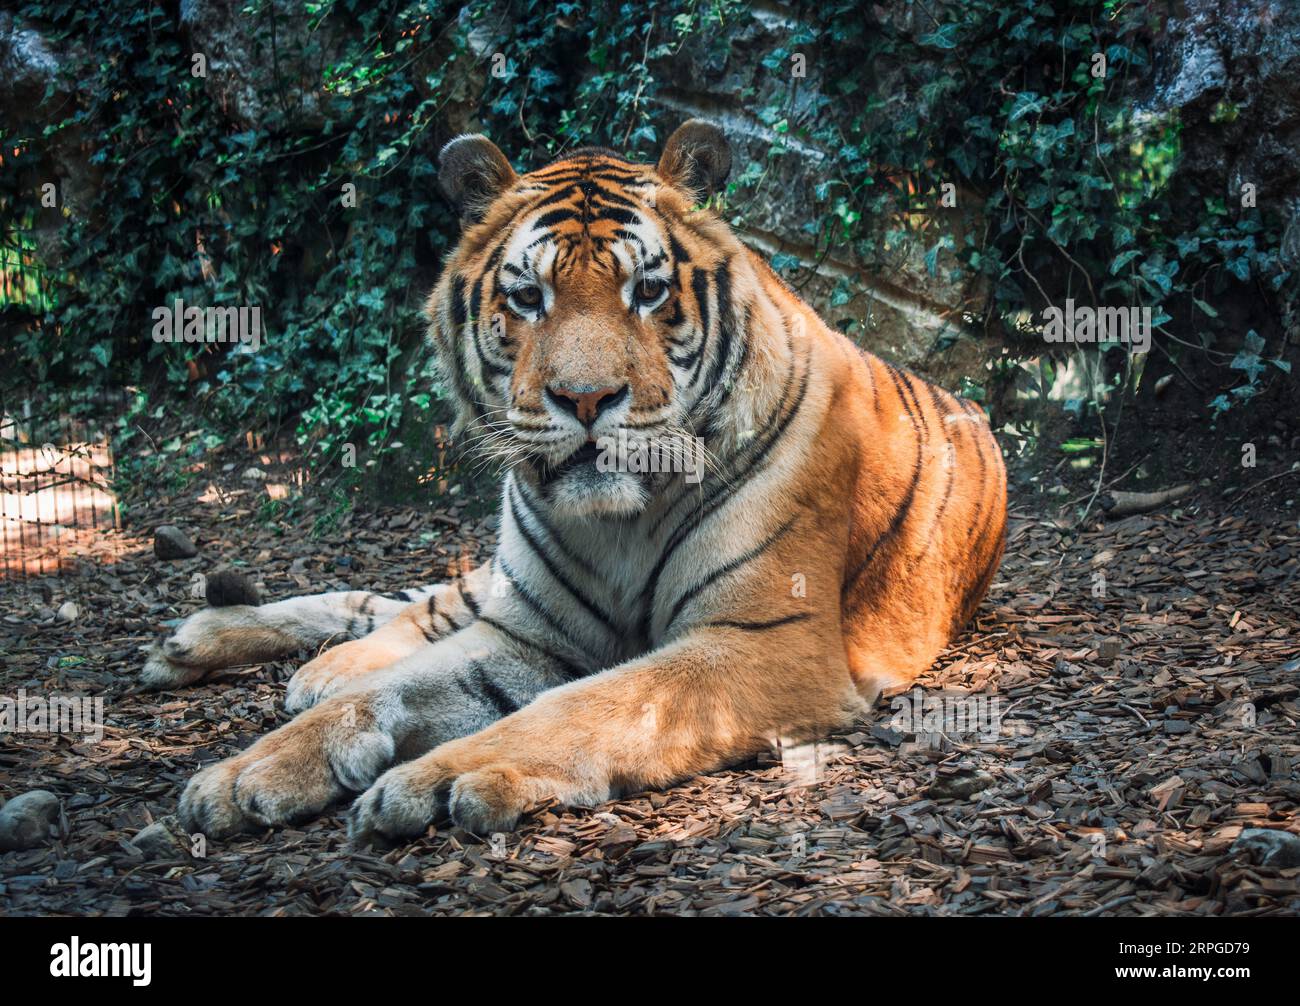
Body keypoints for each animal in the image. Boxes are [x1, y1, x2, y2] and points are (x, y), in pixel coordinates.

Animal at [144, 120, 1007, 840]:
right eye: (529, 297)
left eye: (648, 292)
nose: (586, 399)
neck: (622, 520)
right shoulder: (527, 629)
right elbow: (391, 691)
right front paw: (246, 771)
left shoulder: (764, 642)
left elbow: (579, 706)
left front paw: (441, 776)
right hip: (495, 584)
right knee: (400, 606)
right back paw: (231, 650)